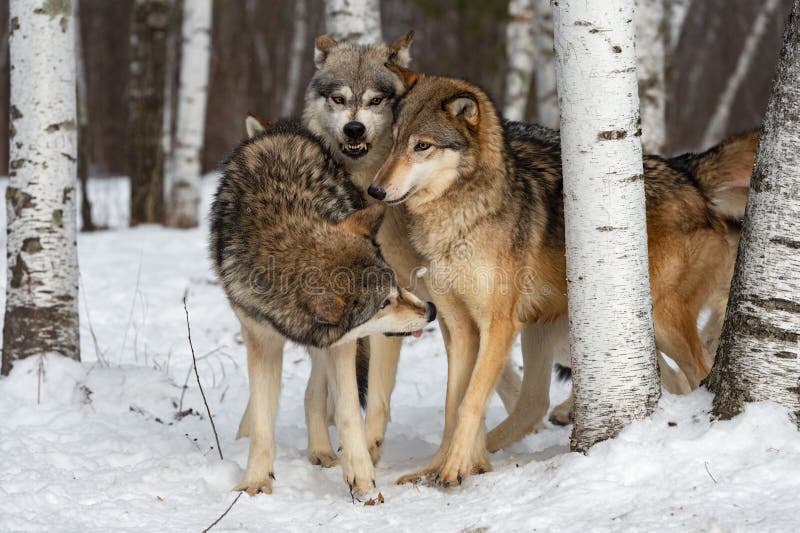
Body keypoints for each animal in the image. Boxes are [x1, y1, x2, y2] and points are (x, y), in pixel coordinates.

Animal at [209, 119, 436, 495]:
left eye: (394, 284)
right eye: (384, 302)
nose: (430, 310)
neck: (284, 235)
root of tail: (283, 128)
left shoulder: (341, 344)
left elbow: (348, 412)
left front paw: (360, 473)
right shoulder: (261, 339)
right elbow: (263, 424)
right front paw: (255, 482)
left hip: (328, 345)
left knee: (313, 393)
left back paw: (321, 450)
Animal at [369, 66, 757, 486]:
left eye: (422, 146)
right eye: (394, 143)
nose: (375, 190)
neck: (465, 217)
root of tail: (687, 173)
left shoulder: (498, 324)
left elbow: (470, 402)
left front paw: (455, 468)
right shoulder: (459, 328)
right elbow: (451, 407)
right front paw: (435, 468)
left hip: (656, 323)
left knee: (698, 374)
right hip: (561, 332)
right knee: (540, 402)